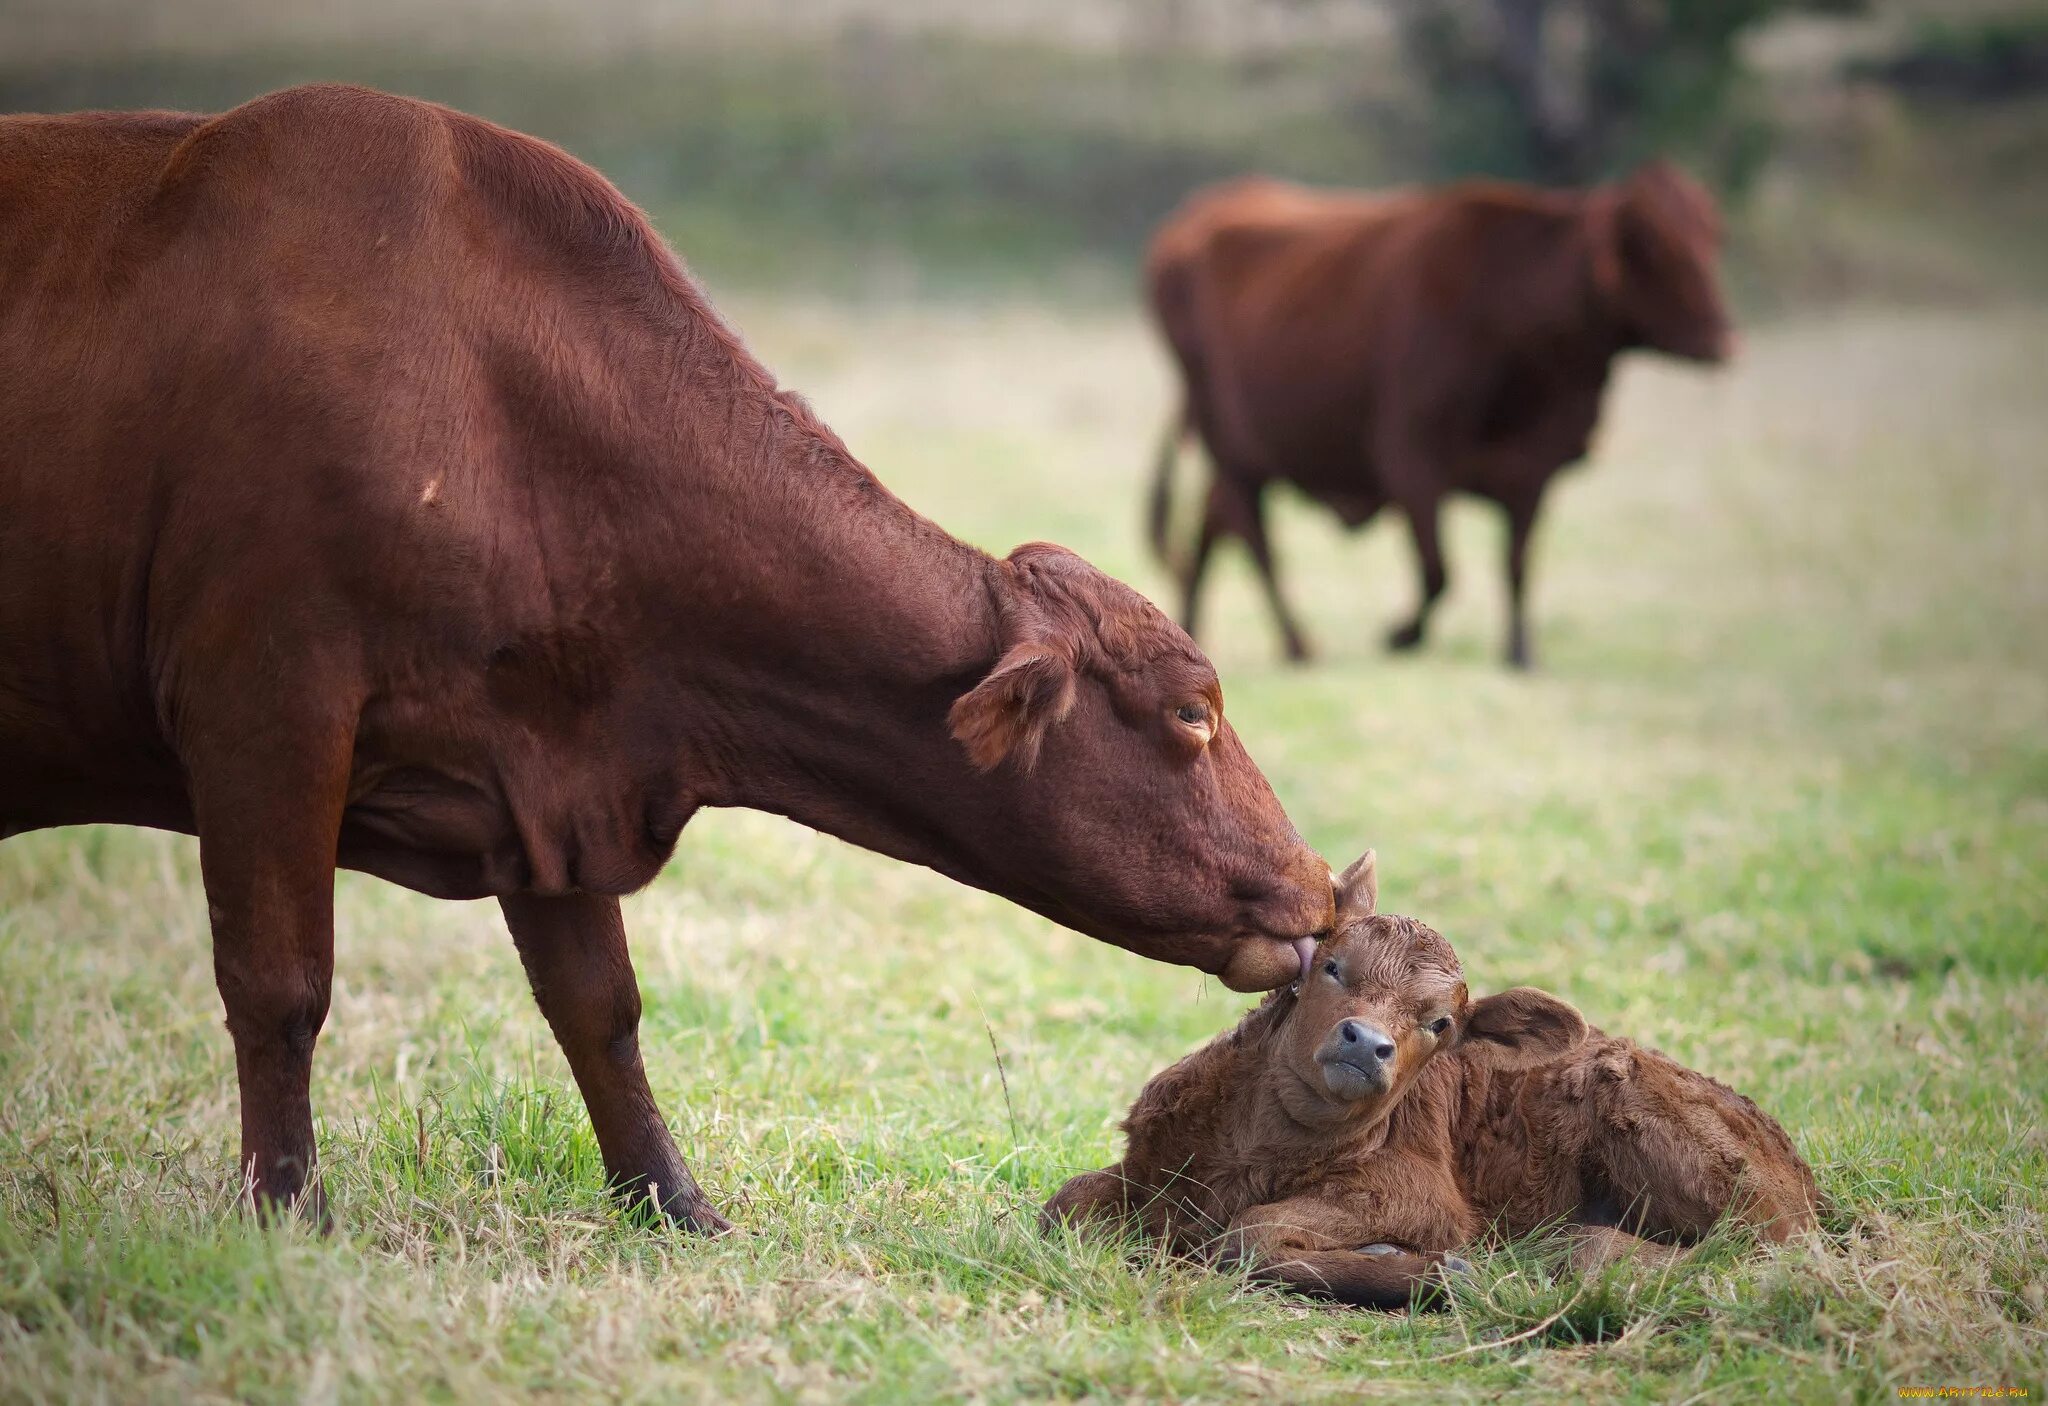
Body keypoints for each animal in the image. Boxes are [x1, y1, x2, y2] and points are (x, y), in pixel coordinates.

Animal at [1048, 851, 1818, 1317]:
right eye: (1333, 966)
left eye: (1441, 1023)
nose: (1367, 1043)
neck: (1260, 1147)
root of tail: (1799, 1169)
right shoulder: (1149, 1161)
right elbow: (1065, 1204)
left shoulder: (1422, 1198)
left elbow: (1249, 1235)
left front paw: (1423, 1269)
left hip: (1669, 1133)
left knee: (1763, 1248)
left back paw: (1569, 1249)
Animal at [1146, 162, 1736, 667]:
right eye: (1653, 244)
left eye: (1712, 235)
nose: (1722, 340)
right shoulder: (1412, 462)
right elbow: (1439, 571)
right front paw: (1399, 634)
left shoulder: (1533, 471)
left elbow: (1516, 566)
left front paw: (1520, 654)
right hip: (1234, 451)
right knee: (1256, 540)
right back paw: (1298, 645)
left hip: (1241, 459)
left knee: (1215, 526)